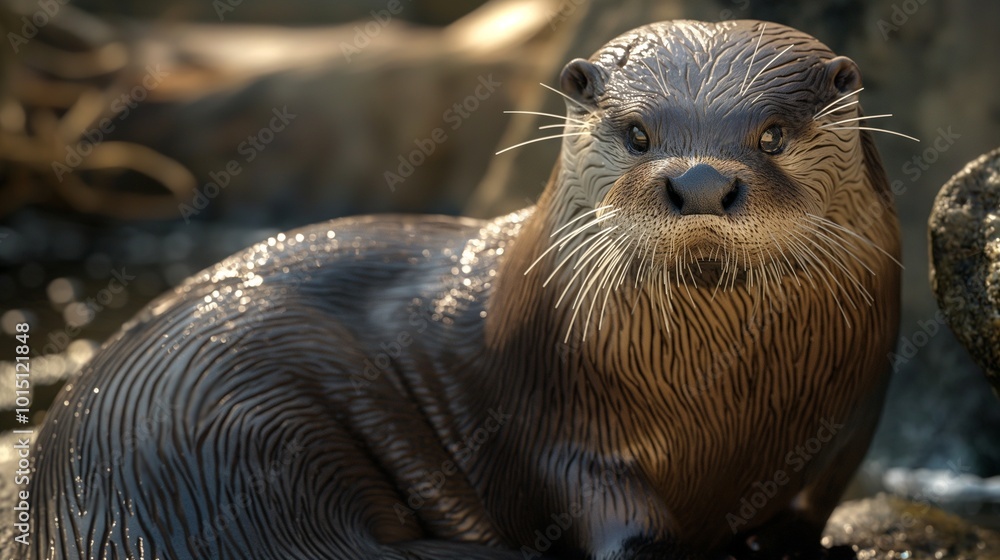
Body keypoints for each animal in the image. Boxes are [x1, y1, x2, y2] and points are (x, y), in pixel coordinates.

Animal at [20, 19, 900, 560]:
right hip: (228, 420)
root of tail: (93, 511)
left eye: (773, 135)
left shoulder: (846, 424)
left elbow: (804, 508)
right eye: (638, 133)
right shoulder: (554, 420)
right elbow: (604, 512)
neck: (728, 403)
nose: (702, 182)